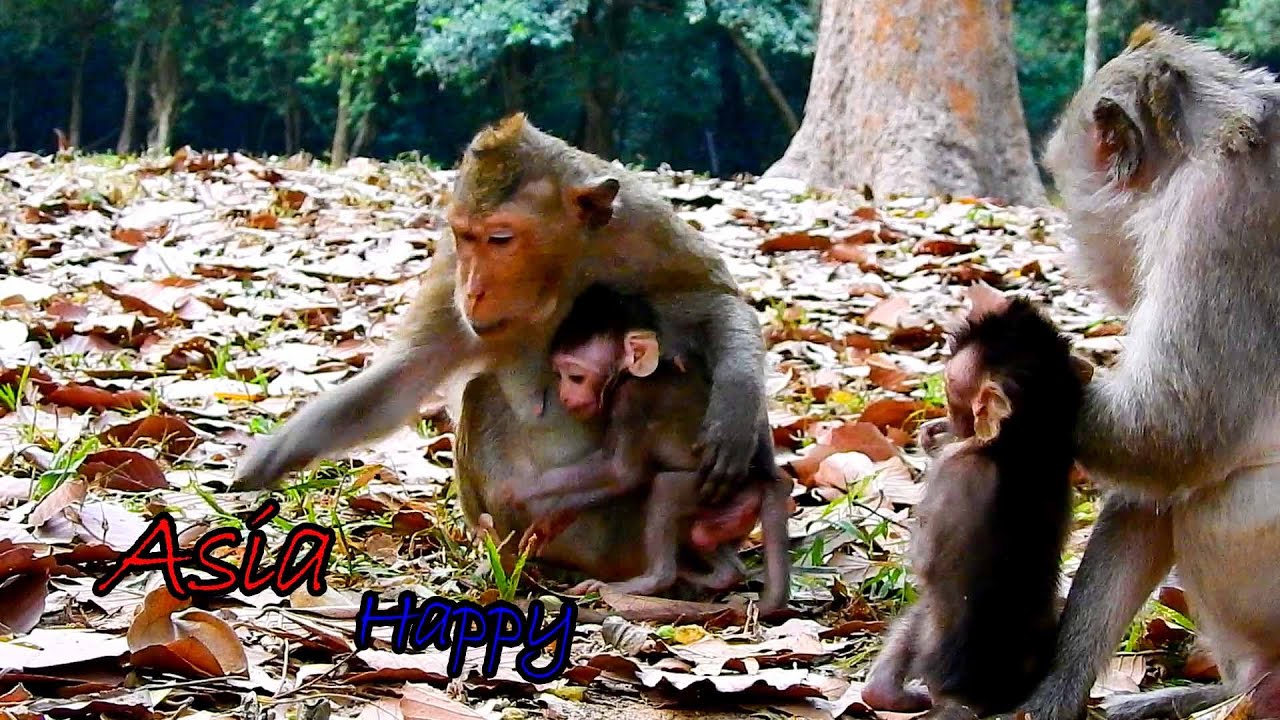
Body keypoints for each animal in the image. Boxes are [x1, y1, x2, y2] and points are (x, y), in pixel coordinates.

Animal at [231, 114, 772, 586]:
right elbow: (405, 375)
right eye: (464, 236)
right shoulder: (450, 265)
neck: (562, 273)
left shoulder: (643, 226)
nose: (472, 290)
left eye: (501, 239)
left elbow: (713, 301)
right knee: (483, 395)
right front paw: (273, 456)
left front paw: (736, 407)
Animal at [510, 283, 792, 612]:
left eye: (575, 377)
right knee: (700, 535)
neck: (630, 375)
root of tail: (764, 481)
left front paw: (526, 489)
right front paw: (554, 517)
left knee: (665, 488)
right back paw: (718, 574)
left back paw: (650, 581)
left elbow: (622, 473)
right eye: (559, 375)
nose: (566, 395)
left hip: (714, 491)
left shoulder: (630, 399)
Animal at [861, 286, 1086, 720]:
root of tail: (972, 696)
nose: (944, 422)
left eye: (950, 392)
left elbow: (924, 560)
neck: (1024, 445)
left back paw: (884, 694)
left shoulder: (955, 471)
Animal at [1012, 24, 1280, 720]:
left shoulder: (1216, 220)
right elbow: (1149, 485)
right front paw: (1056, 688)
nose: (1076, 255)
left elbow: (1170, 432)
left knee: (1218, 498)